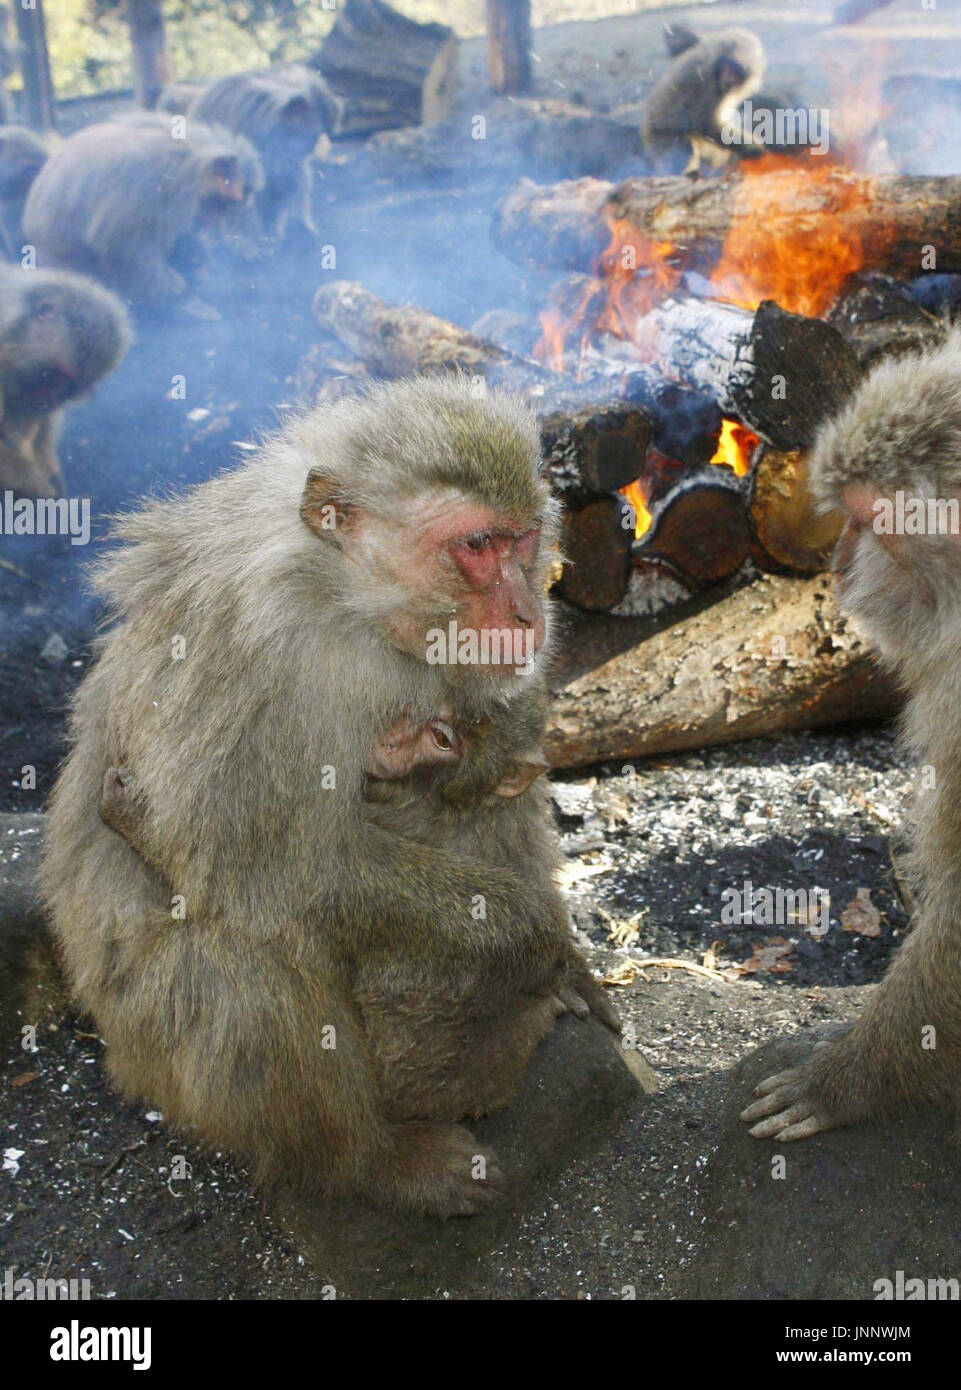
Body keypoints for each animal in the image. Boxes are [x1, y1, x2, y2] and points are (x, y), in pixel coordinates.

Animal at [42, 375, 618, 1218]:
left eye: (520, 539)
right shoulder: (265, 660)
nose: (526, 613)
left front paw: (560, 964)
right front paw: (531, 939)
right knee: (250, 954)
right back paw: (368, 1162)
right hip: (159, 1055)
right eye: (475, 546)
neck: (349, 601)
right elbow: (268, 872)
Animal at [642, 28, 765, 175]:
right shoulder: (706, 85)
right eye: (728, 69)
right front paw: (752, 148)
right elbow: (709, 125)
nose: (728, 80)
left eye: (736, 75)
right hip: (661, 141)